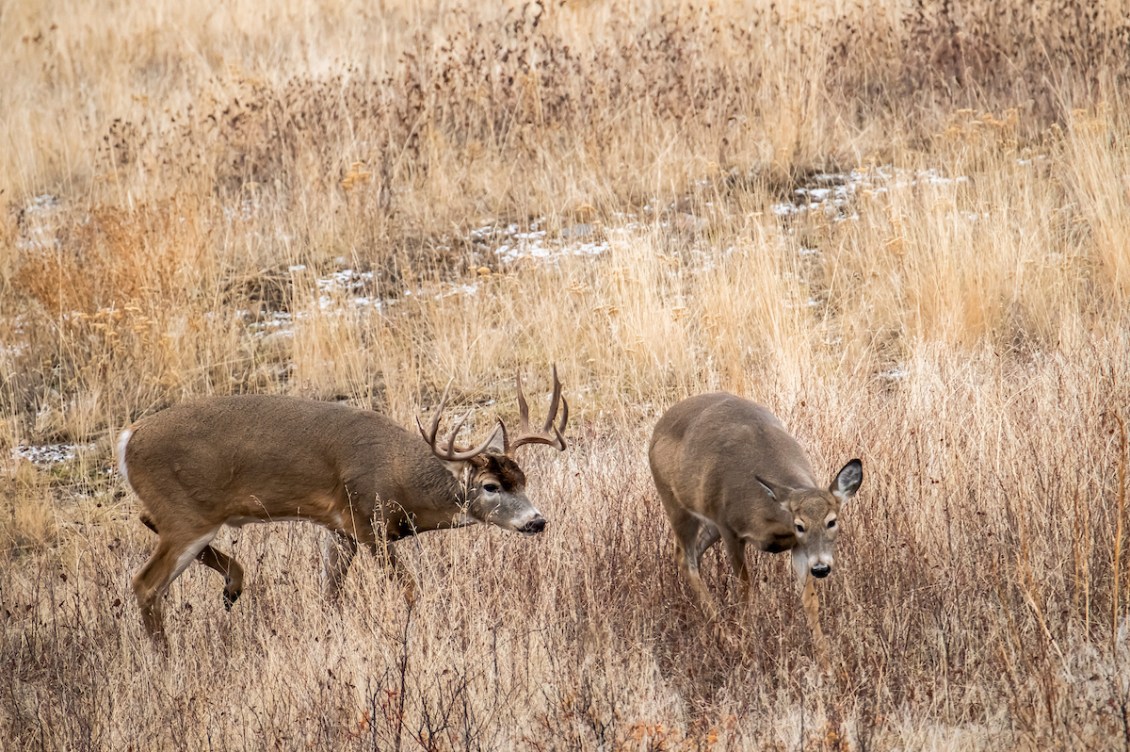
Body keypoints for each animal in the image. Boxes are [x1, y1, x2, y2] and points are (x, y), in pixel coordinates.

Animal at [117, 367, 568, 643]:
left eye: (523, 480)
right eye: (490, 486)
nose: (537, 521)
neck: (402, 478)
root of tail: (128, 436)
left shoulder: (339, 530)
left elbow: (329, 596)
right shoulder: (369, 521)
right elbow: (410, 590)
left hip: (187, 512)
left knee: (145, 521)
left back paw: (233, 585)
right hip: (186, 515)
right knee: (145, 584)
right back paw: (166, 659)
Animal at [648, 392, 862, 649]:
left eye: (832, 521)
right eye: (800, 525)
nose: (821, 568)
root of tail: (658, 426)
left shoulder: (798, 546)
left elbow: (810, 601)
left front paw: (827, 658)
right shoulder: (729, 528)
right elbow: (745, 590)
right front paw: (746, 643)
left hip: (709, 523)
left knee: (688, 554)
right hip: (677, 505)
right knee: (686, 558)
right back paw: (725, 637)